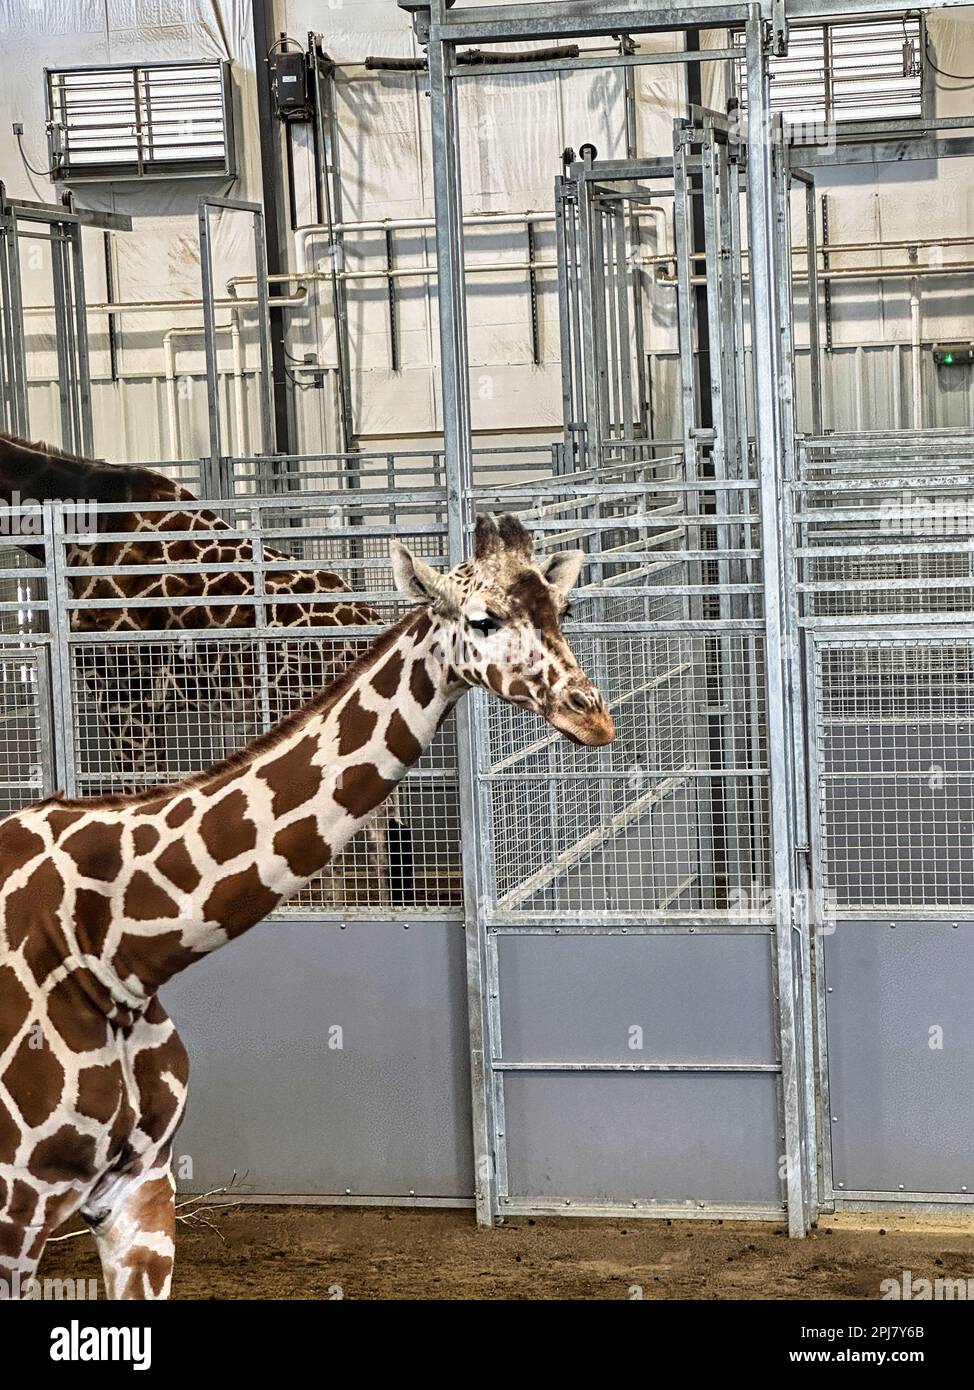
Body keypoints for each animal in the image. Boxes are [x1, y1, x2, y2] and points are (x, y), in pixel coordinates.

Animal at [0, 512, 613, 1298]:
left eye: (560, 610)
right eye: (481, 619)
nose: (593, 718)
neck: (115, 952)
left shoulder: (140, 1192)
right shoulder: (17, 1208)